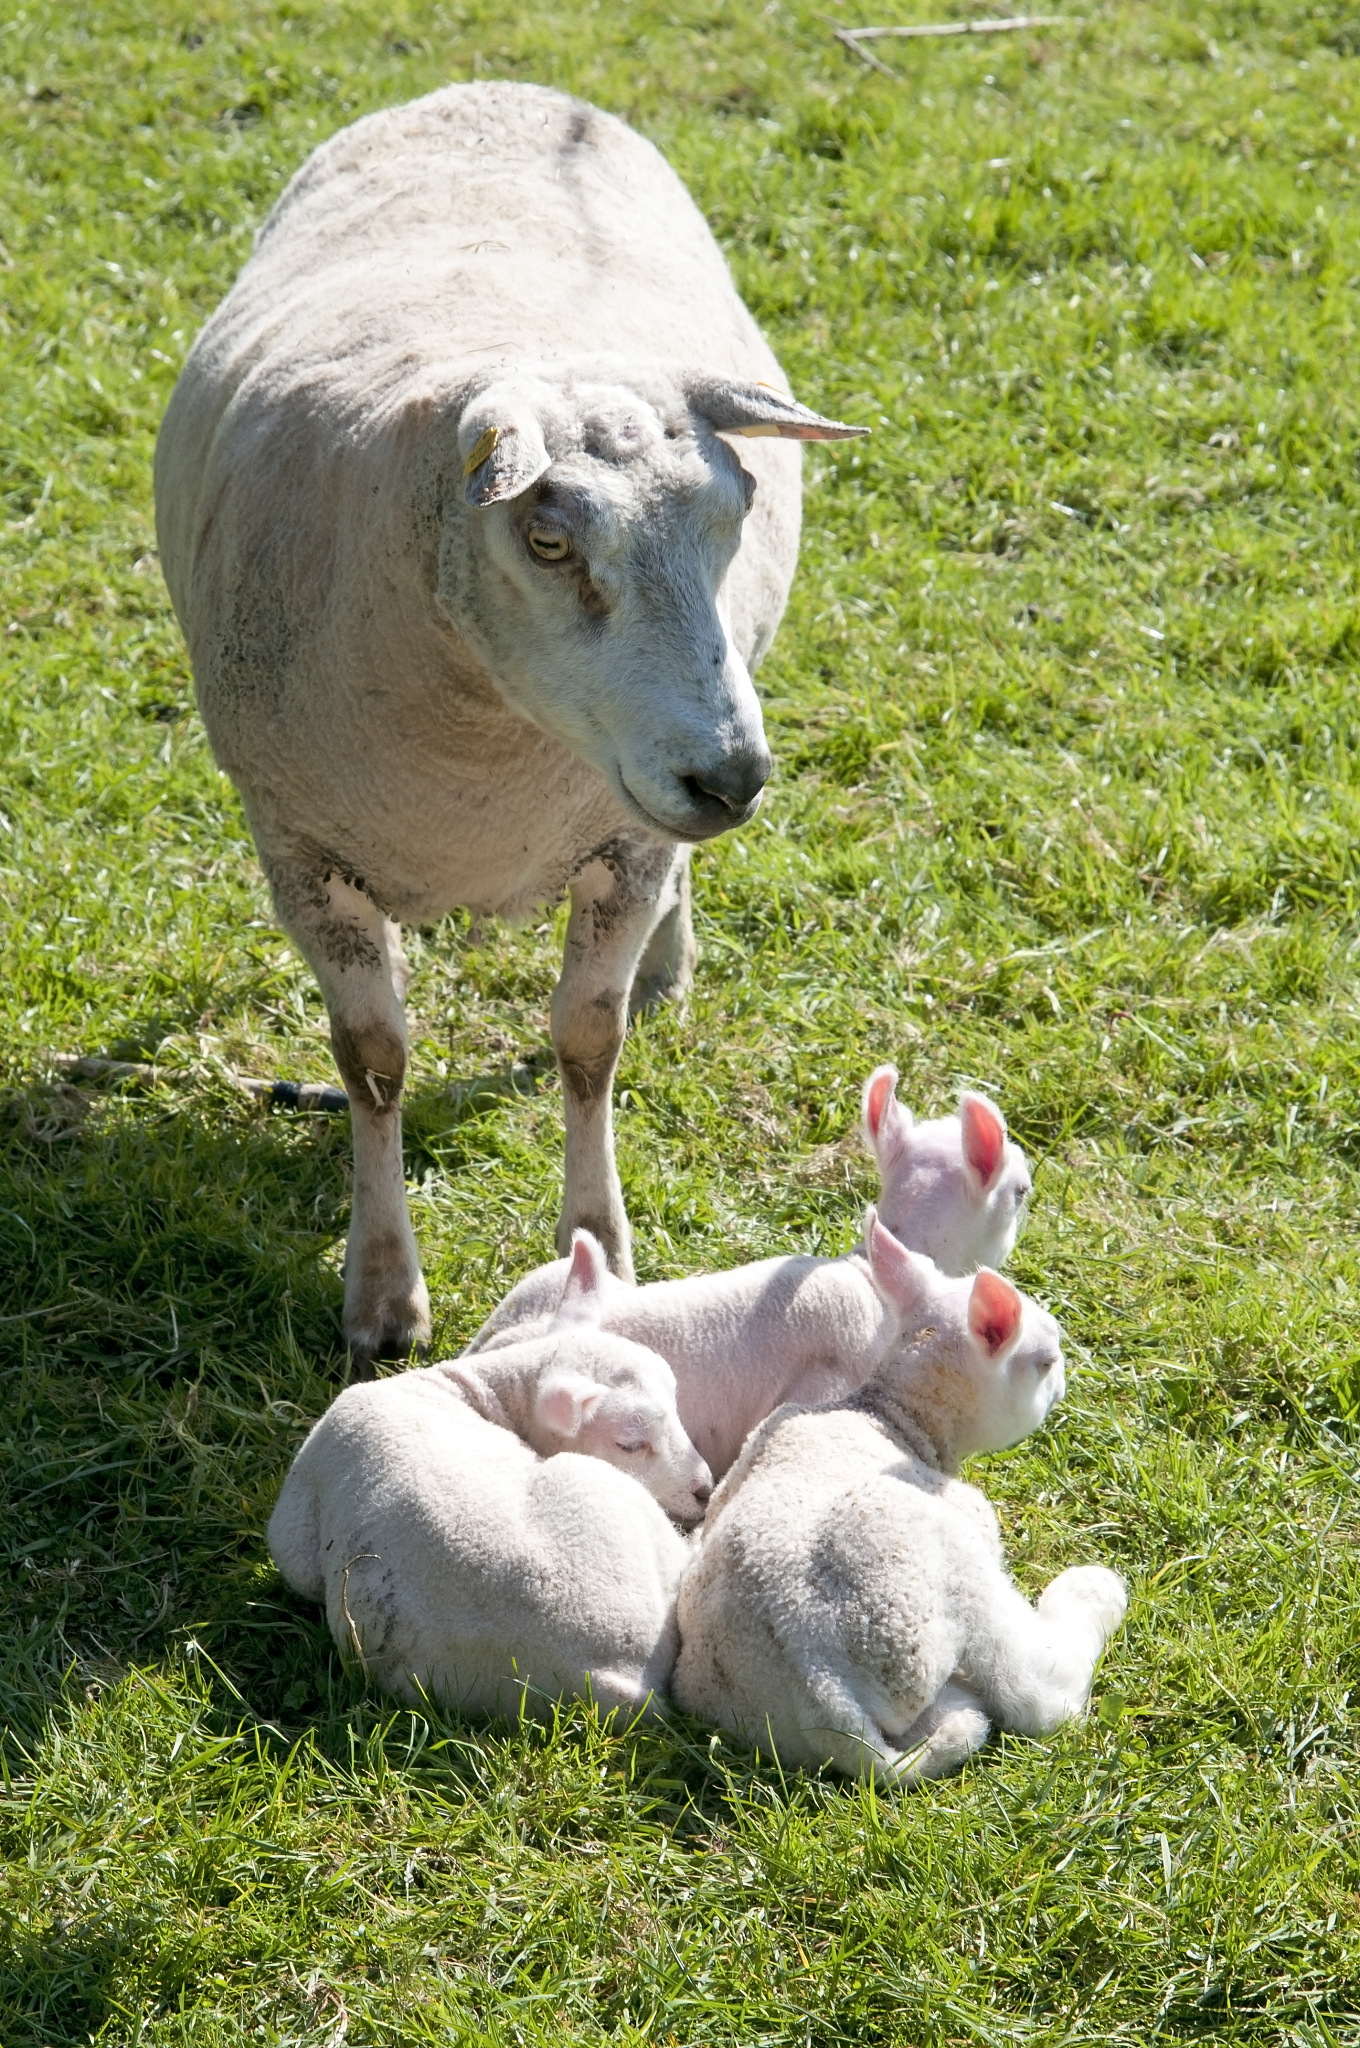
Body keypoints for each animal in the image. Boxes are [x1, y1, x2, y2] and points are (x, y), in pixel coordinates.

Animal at [153, 80, 864, 1370]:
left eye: (736, 507)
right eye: (545, 537)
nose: (735, 776)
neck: (484, 752)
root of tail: (499, 90)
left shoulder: (626, 835)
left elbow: (589, 1041)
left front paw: (599, 1251)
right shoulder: (297, 847)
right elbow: (372, 1061)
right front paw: (383, 1294)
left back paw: (669, 960)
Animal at [671, 1208, 1128, 1784]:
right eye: (1046, 1362)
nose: (1064, 1383)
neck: (889, 1415)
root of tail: (820, 1692)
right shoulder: (969, 1517)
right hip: (940, 1574)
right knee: (1036, 1693)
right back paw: (1095, 1592)